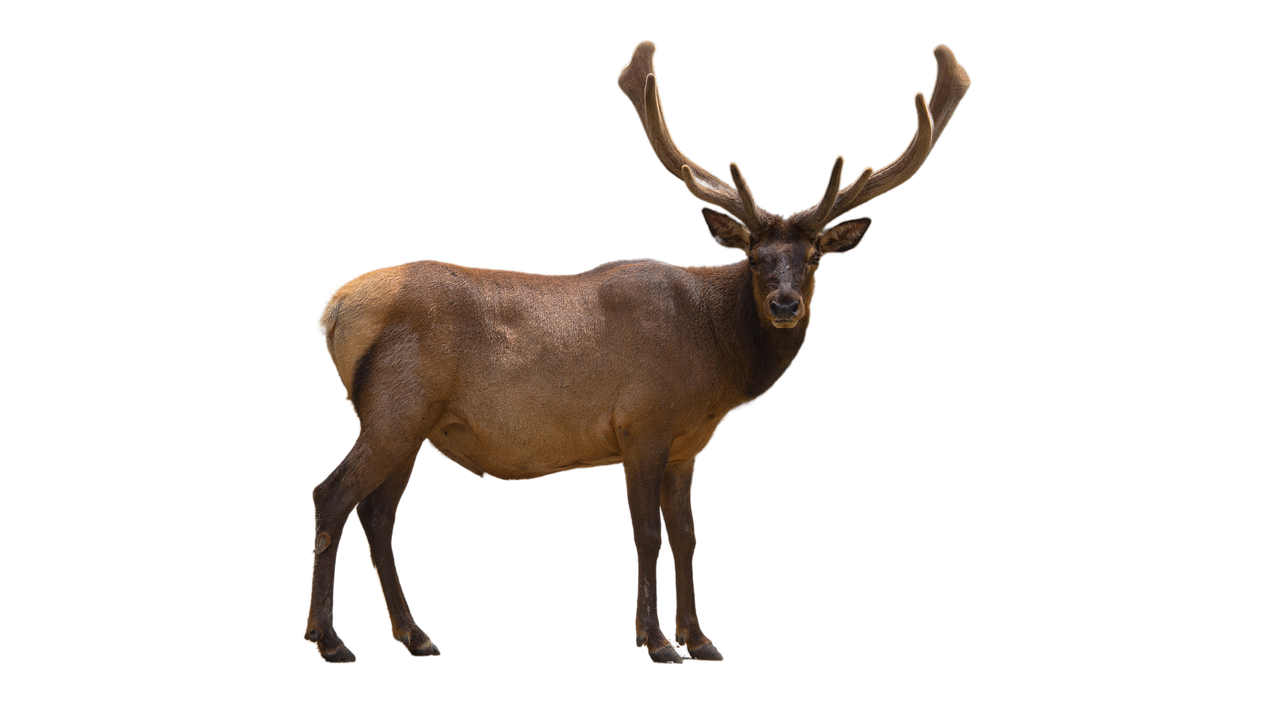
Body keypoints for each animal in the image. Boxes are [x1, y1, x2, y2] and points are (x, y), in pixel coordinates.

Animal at [305, 39, 971, 664]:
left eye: (812, 259)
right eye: (754, 257)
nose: (785, 304)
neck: (718, 366)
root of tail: (333, 308)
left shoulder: (688, 444)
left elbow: (688, 533)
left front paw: (700, 638)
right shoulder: (641, 424)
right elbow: (647, 532)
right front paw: (656, 641)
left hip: (412, 424)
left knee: (377, 512)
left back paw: (415, 635)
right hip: (395, 409)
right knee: (334, 495)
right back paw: (330, 639)